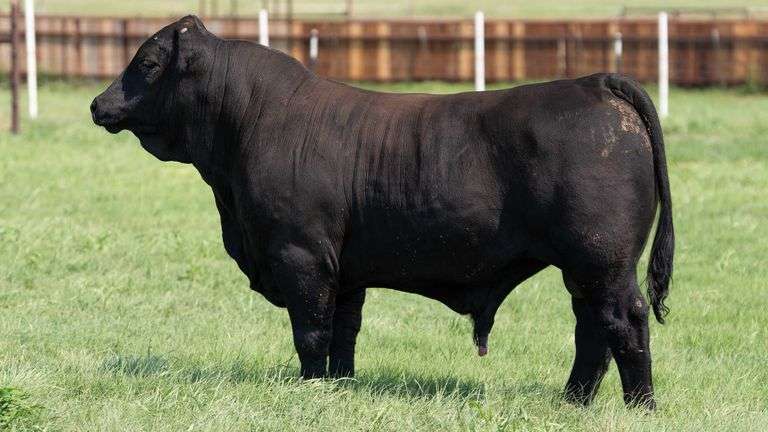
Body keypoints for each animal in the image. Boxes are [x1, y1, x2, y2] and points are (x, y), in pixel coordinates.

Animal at [91, 16, 674, 409]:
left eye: (147, 63)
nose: (98, 104)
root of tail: (594, 82)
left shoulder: (300, 255)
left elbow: (311, 331)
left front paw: (310, 389)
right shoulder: (345, 270)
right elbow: (344, 332)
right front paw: (339, 386)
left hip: (602, 260)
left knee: (624, 320)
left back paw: (639, 406)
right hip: (585, 267)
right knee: (592, 328)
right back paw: (572, 401)